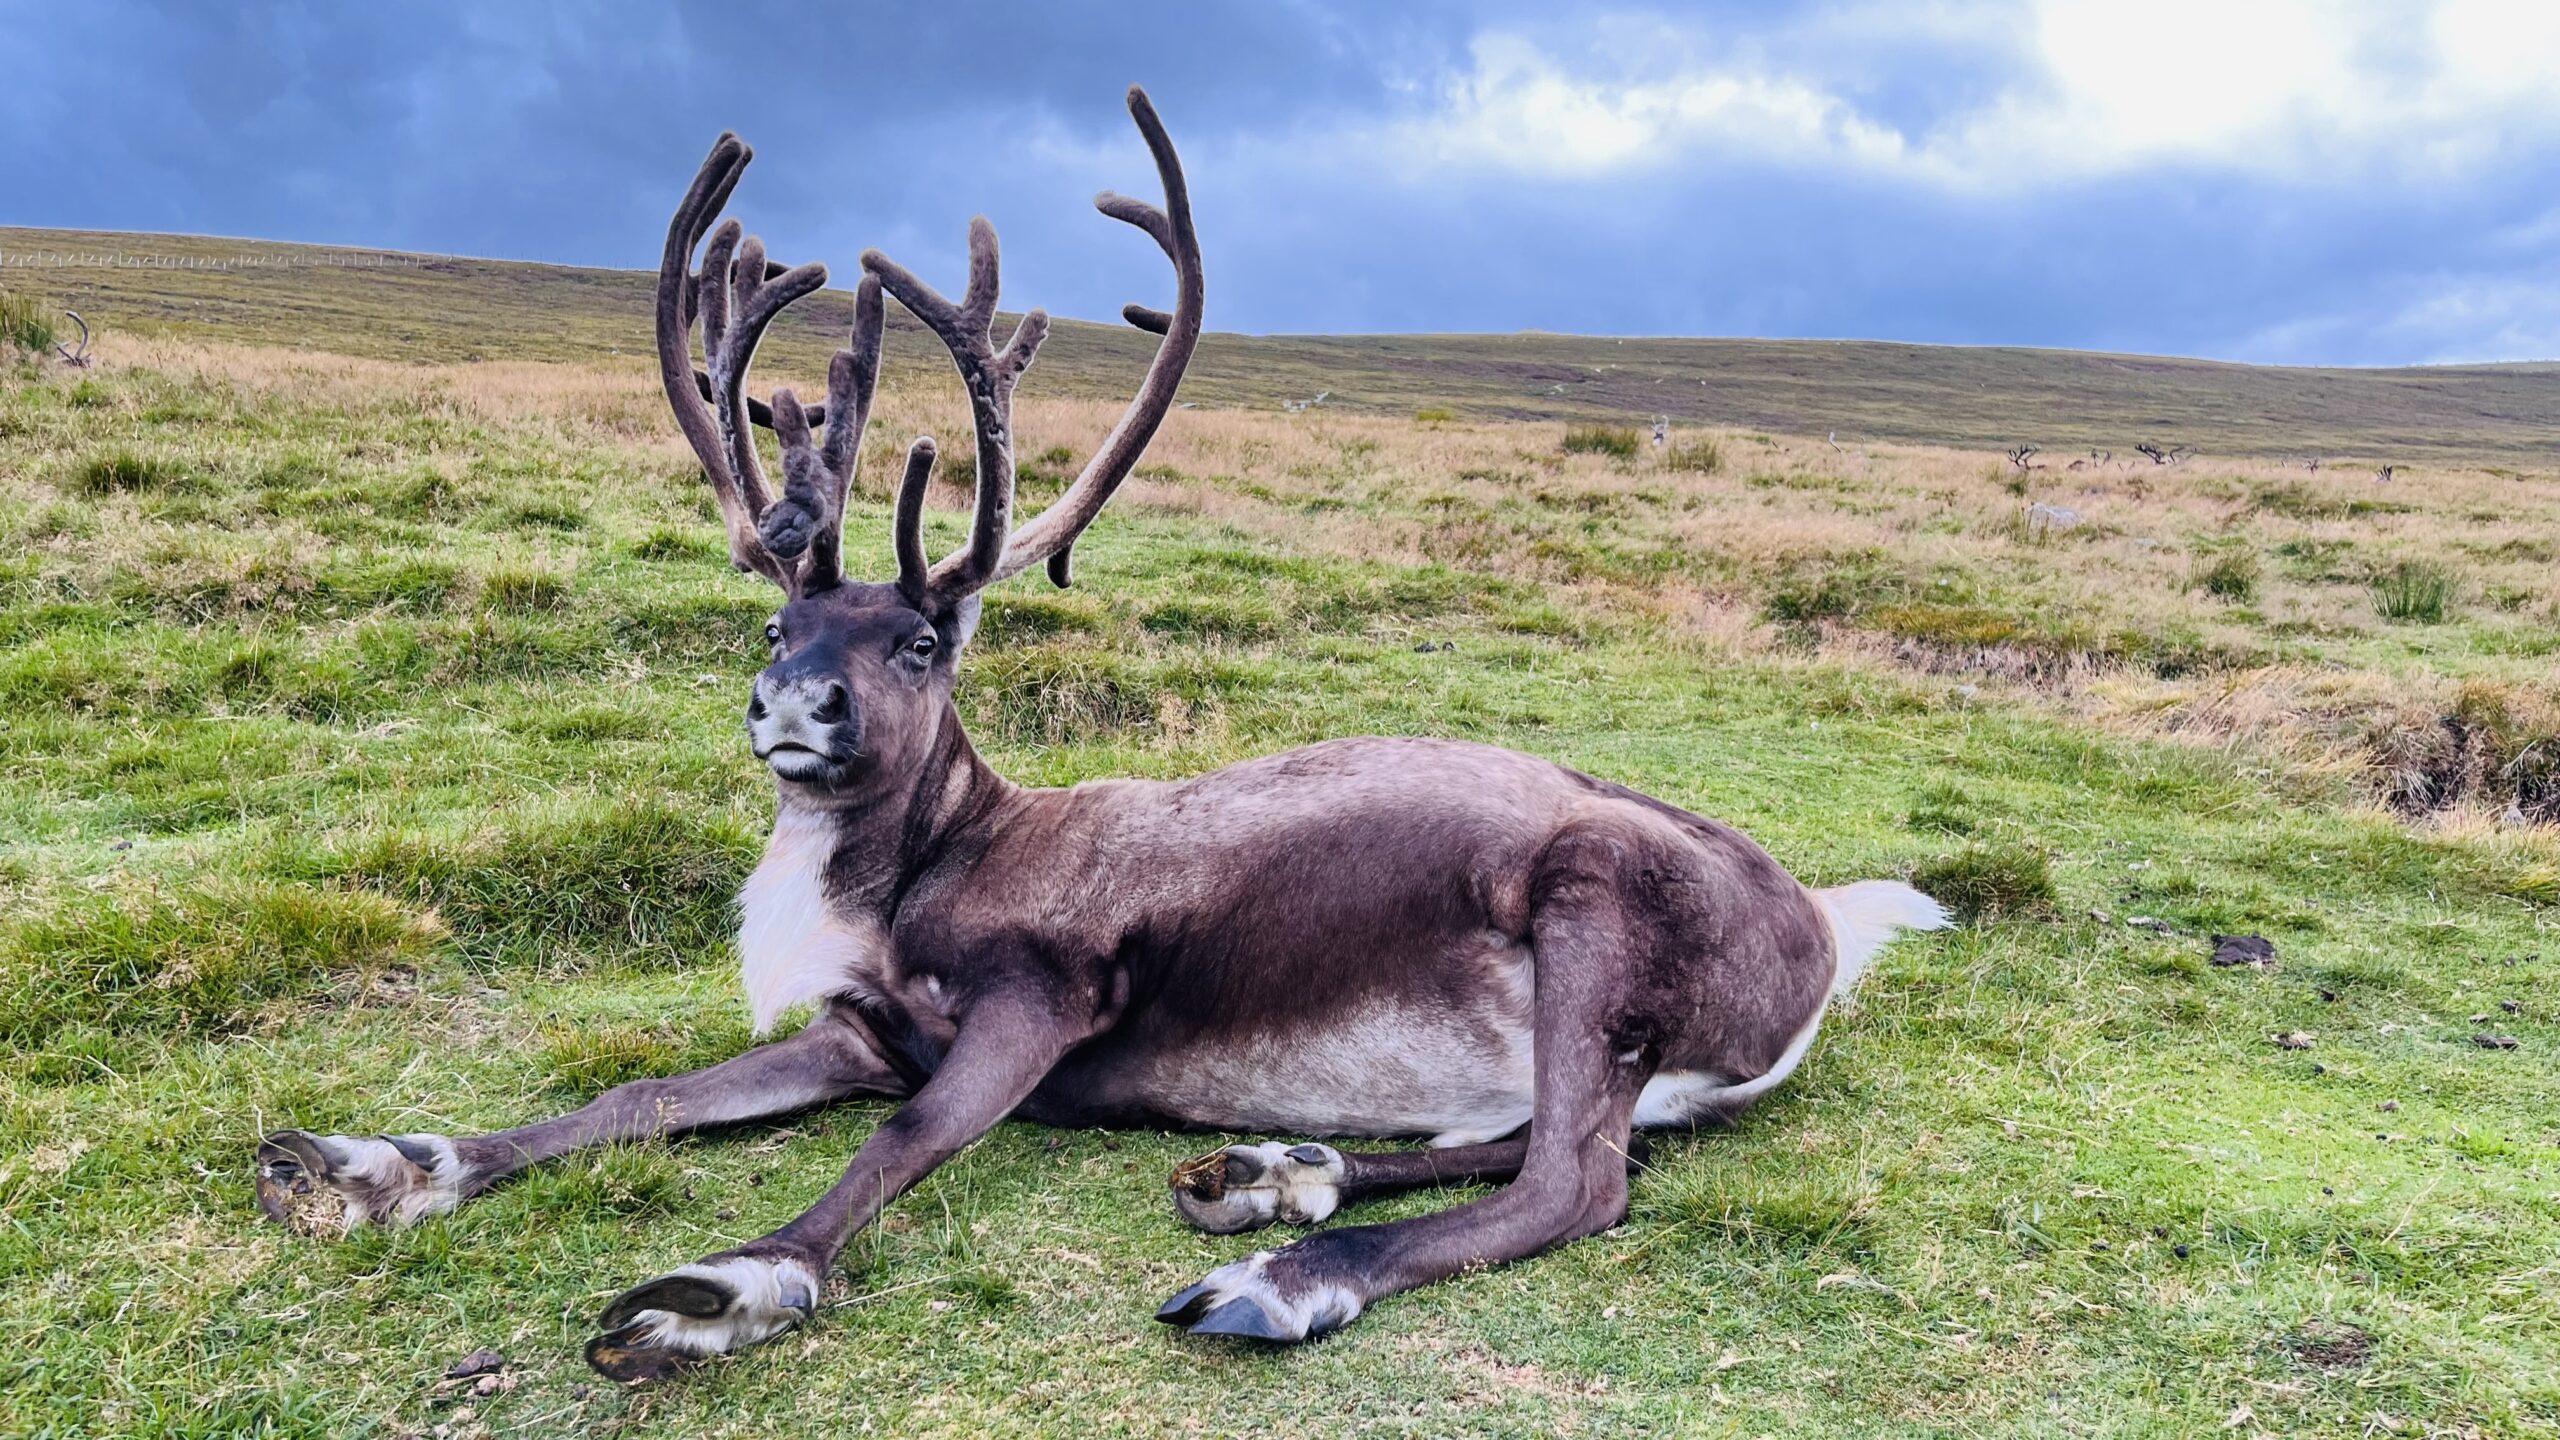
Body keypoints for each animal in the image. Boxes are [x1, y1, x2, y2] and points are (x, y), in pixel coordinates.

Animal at [249, 87, 1950, 1381]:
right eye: (775, 629)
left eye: (921, 640)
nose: (794, 708)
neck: (919, 873)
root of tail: (1824, 935)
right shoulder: (855, 1027)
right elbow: (637, 1102)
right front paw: (387, 1165)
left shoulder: (1043, 996)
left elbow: (900, 1144)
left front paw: (728, 1287)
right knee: (1543, 1139)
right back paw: (1273, 1175)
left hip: (1592, 900)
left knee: (1580, 1177)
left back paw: (1290, 1272)